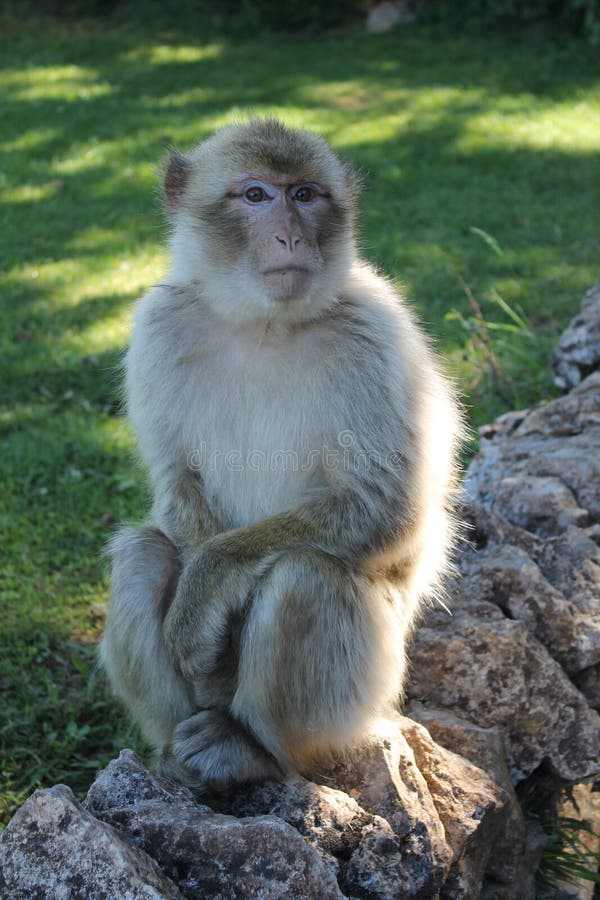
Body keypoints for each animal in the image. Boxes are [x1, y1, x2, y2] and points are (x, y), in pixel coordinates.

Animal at [100, 118, 462, 793]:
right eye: (256, 195)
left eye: (306, 195)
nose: (290, 233)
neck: (260, 323)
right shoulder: (158, 326)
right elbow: (178, 482)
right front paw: (201, 622)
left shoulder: (375, 336)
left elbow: (385, 507)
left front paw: (206, 588)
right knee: (142, 551)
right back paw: (176, 751)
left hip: (369, 691)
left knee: (306, 574)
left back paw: (252, 749)